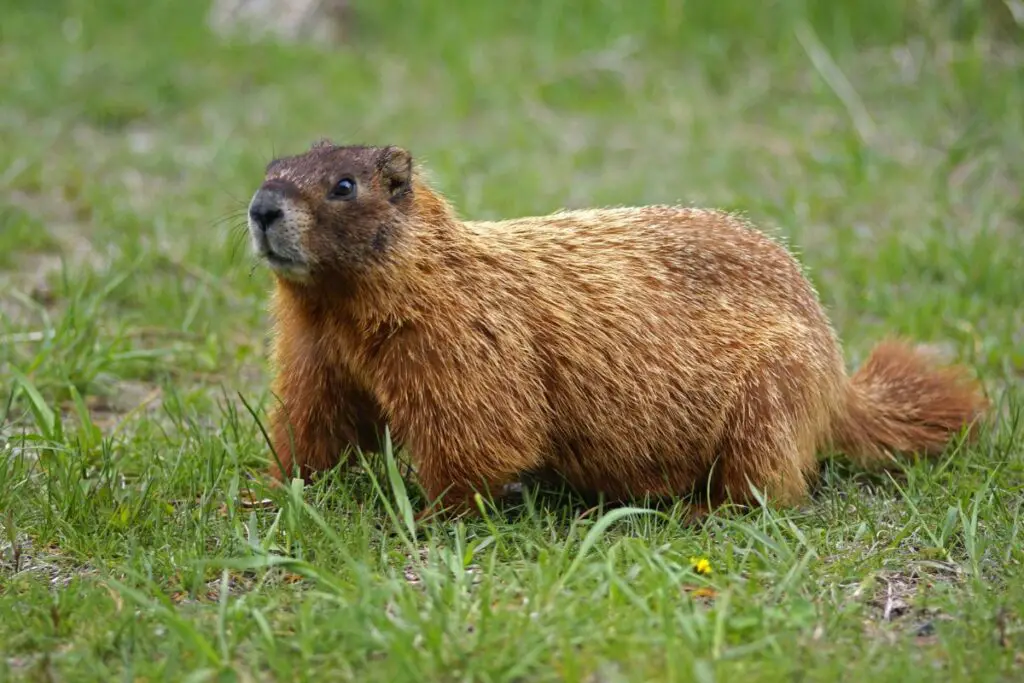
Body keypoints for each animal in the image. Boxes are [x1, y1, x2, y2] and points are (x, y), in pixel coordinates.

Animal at [245, 140, 989, 518]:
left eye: (343, 186)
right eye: (268, 168)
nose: (260, 208)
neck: (340, 303)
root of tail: (839, 378)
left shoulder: (456, 333)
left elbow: (479, 424)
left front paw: (434, 516)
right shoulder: (316, 344)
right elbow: (317, 411)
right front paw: (281, 483)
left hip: (774, 386)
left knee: (766, 473)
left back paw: (706, 509)